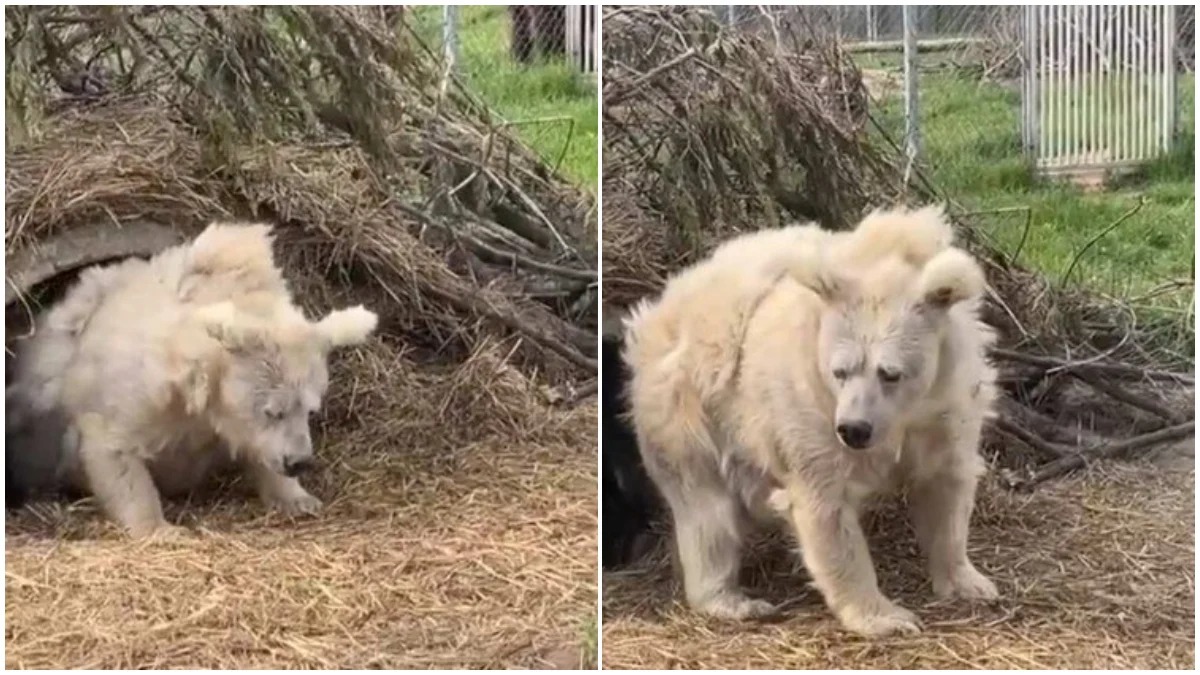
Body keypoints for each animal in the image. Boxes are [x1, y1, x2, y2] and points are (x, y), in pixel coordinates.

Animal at [6, 222, 378, 538]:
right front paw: (160, 529)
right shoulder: (142, 395)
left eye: (311, 409)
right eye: (273, 411)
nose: (299, 462)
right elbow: (114, 448)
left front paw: (300, 499)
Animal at [621, 205, 999, 637]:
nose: (854, 429)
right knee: (706, 512)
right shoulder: (807, 411)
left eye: (891, 373)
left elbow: (946, 487)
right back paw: (734, 600)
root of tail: (656, 311)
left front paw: (970, 582)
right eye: (840, 371)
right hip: (689, 409)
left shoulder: (949, 406)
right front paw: (888, 617)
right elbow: (826, 511)